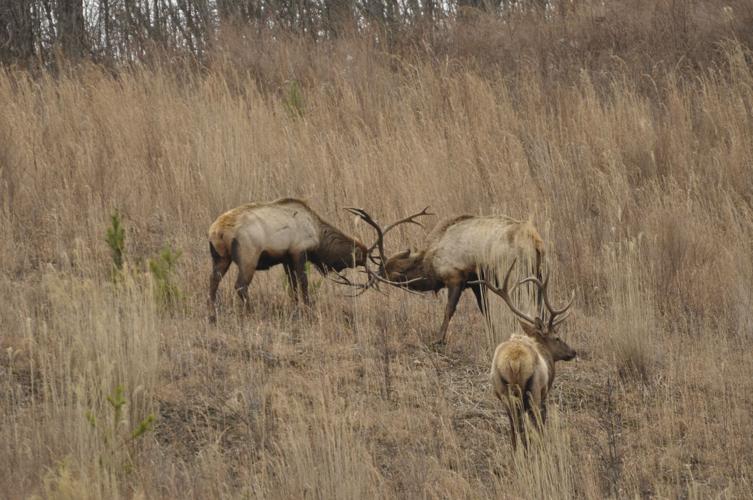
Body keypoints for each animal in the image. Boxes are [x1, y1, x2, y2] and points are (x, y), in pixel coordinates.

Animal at [208, 198, 368, 322]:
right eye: (362, 259)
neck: (318, 235)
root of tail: (217, 231)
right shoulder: (299, 252)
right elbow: (303, 282)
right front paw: (308, 310)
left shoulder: (286, 259)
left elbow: (293, 285)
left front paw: (296, 309)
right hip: (248, 259)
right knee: (240, 285)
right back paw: (250, 313)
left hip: (221, 258)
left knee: (213, 280)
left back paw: (212, 315)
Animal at [344, 207, 545, 345]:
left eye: (390, 273)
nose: (373, 276)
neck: (431, 263)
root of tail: (535, 241)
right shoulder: (476, 283)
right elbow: (485, 310)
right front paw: (493, 335)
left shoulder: (455, 277)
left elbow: (449, 309)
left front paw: (438, 339)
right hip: (539, 273)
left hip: (514, 275)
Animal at [479, 259, 576, 449]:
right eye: (557, 337)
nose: (572, 352)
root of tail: (514, 363)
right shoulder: (545, 391)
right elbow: (541, 423)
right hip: (534, 391)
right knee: (530, 424)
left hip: (503, 391)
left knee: (514, 428)